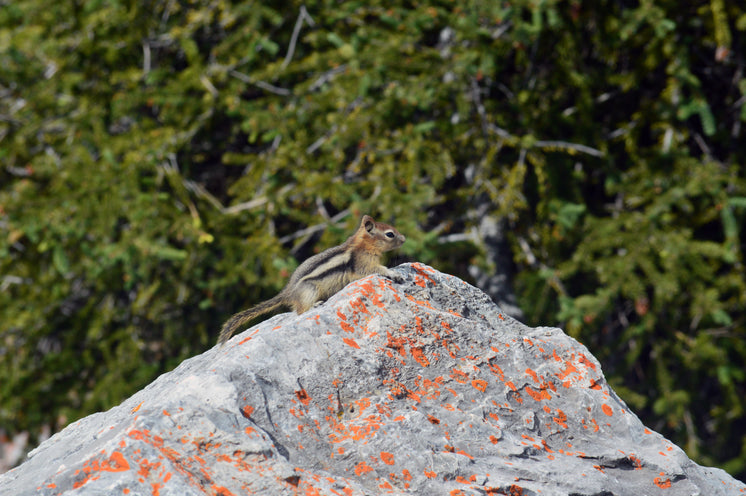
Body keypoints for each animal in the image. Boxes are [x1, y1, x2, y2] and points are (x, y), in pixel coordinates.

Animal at [218, 215, 406, 344]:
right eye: (390, 234)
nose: (404, 239)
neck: (363, 244)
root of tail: (288, 293)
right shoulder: (362, 264)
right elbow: (375, 269)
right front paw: (393, 273)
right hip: (310, 290)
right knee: (300, 311)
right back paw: (314, 305)